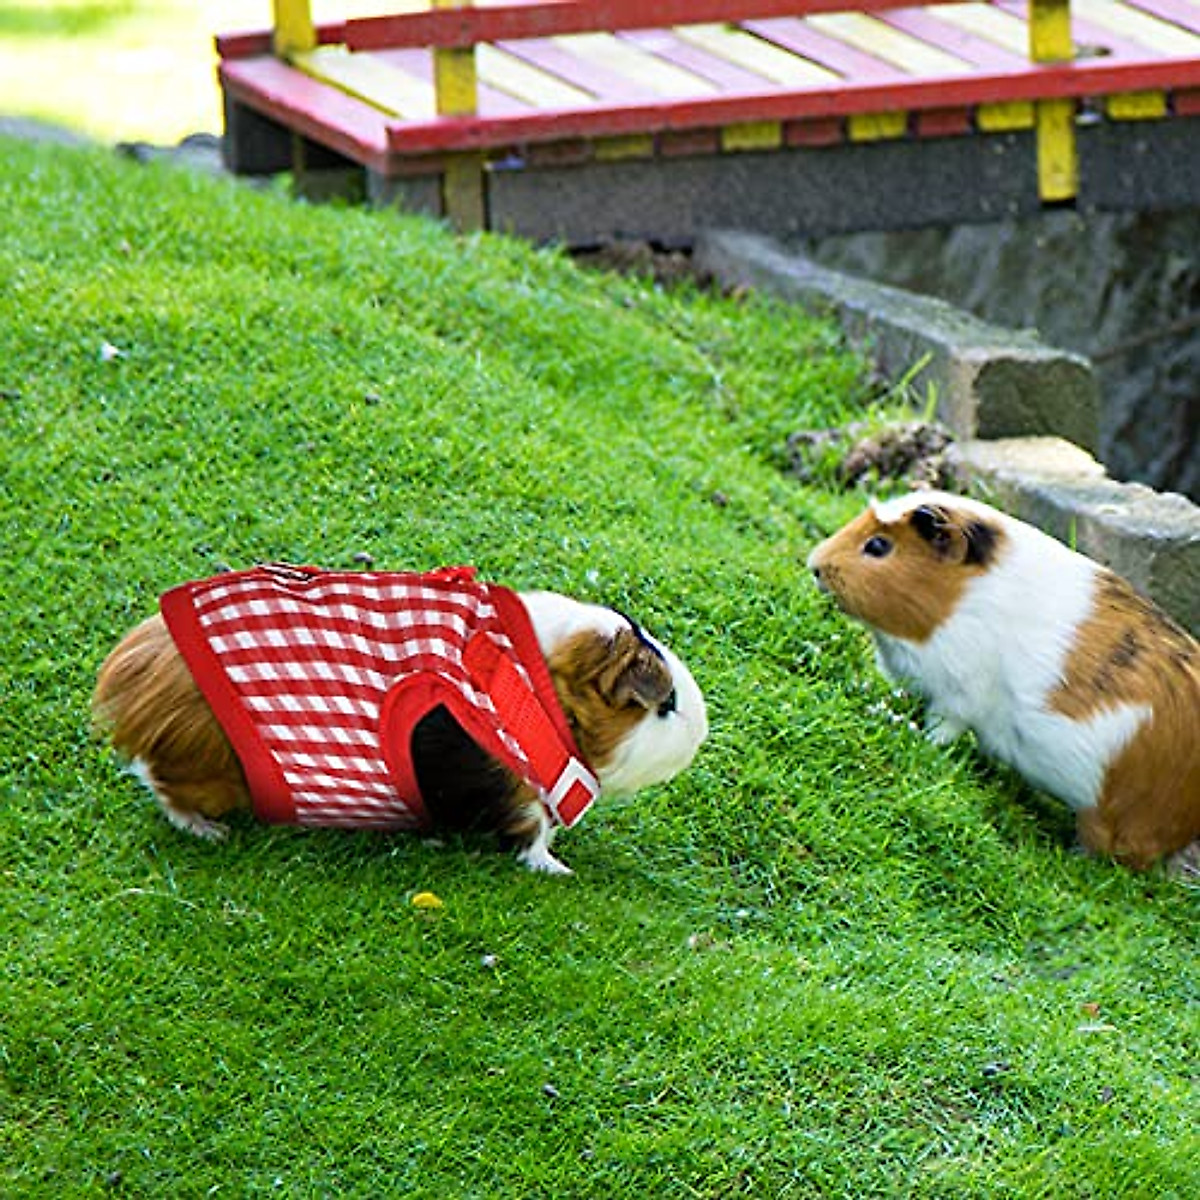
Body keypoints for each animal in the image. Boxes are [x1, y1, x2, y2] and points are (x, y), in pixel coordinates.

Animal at [92, 566, 707, 875]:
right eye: (666, 704)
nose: (700, 728)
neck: (530, 692)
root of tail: (129, 690)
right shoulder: (518, 795)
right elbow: (533, 837)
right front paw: (560, 871)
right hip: (211, 777)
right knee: (163, 788)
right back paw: (209, 831)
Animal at [807, 491, 1199, 872]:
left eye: (878, 546)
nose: (815, 565)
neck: (961, 603)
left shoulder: (957, 697)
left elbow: (940, 729)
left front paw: (913, 734)